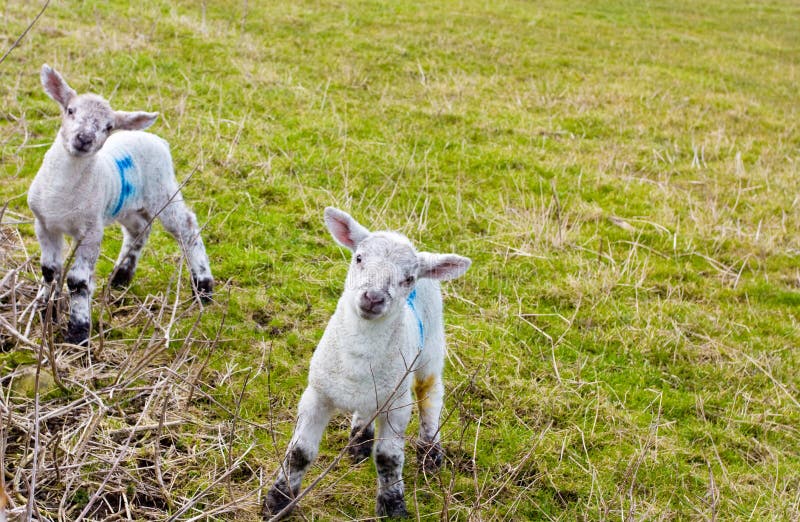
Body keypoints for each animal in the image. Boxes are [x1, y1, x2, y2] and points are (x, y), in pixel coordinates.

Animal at [27, 65, 213, 346]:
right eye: (70, 110)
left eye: (109, 126)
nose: (84, 138)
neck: (62, 191)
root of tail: (156, 139)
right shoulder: (45, 224)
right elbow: (50, 270)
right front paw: (44, 312)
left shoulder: (91, 231)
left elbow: (78, 281)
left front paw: (78, 334)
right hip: (127, 205)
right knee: (139, 229)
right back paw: (120, 277)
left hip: (163, 190)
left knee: (187, 228)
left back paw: (203, 288)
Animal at [263, 207, 471, 519]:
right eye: (359, 258)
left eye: (408, 278)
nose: (373, 298)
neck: (359, 358)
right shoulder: (317, 394)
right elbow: (299, 453)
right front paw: (278, 502)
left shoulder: (397, 405)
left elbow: (388, 457)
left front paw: (393, 506)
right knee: (368, 410)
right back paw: (359, 441)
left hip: (431, 347)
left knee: (430, 395)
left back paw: (431, 452)